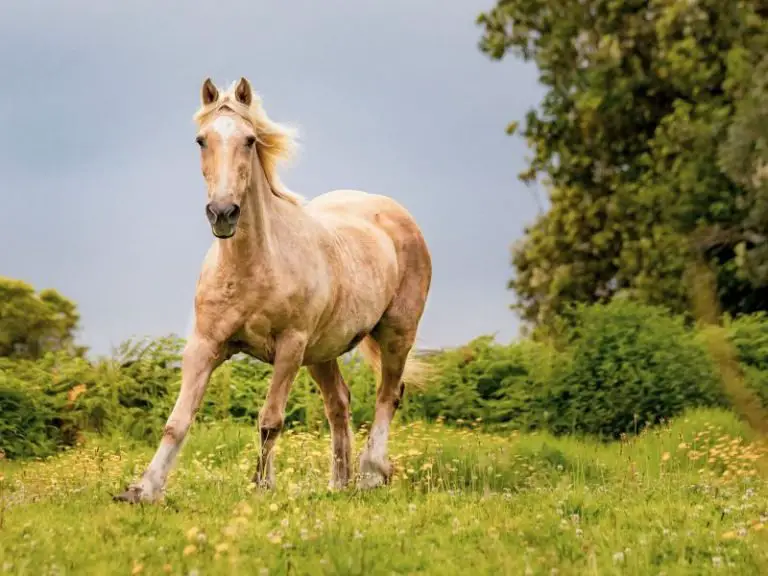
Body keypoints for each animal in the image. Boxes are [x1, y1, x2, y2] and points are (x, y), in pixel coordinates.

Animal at [115, 77, 432, 503]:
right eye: (201, 140)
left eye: (250, 140)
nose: (222, 213)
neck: (252, 267)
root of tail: (395, 214)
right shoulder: (204, 344)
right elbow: (177, 420)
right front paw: (143, 489)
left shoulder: (290, 347)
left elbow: (270, 420)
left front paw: (262, 485)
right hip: (322, 352)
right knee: (339, 403)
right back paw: (339, 483)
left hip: (396, 333)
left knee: (388, 395)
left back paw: (370, 473)